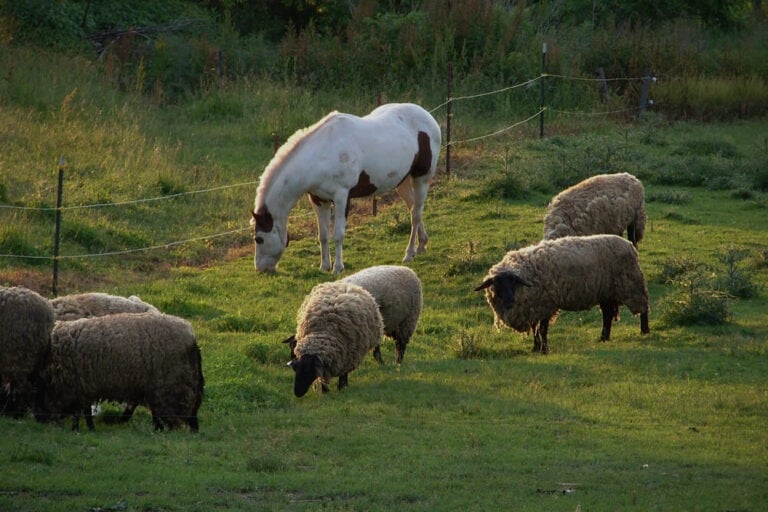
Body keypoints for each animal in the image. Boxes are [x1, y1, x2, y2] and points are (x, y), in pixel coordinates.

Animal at [33, 312, 204, 432]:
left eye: (39, 392)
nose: (38, 420)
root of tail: (191, 337)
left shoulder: (78, 386)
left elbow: (81, 411)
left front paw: (82, 429)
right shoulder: (84, 387)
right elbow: (85, 411)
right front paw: (87, 429)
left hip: (170, 384)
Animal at [474, 234, 650, 354]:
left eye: (513, 283)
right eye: (497, 285)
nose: (509, 302)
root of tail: (629, 245)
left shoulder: (546, 305)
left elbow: (542, 330)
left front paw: (544, 349)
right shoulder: (534, 308)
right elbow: (535, 329)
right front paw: (535, 348)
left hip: (631, 284)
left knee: (643, 308)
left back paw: (644, 331)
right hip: (607, 292)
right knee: (607, 315)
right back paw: (603, 338)